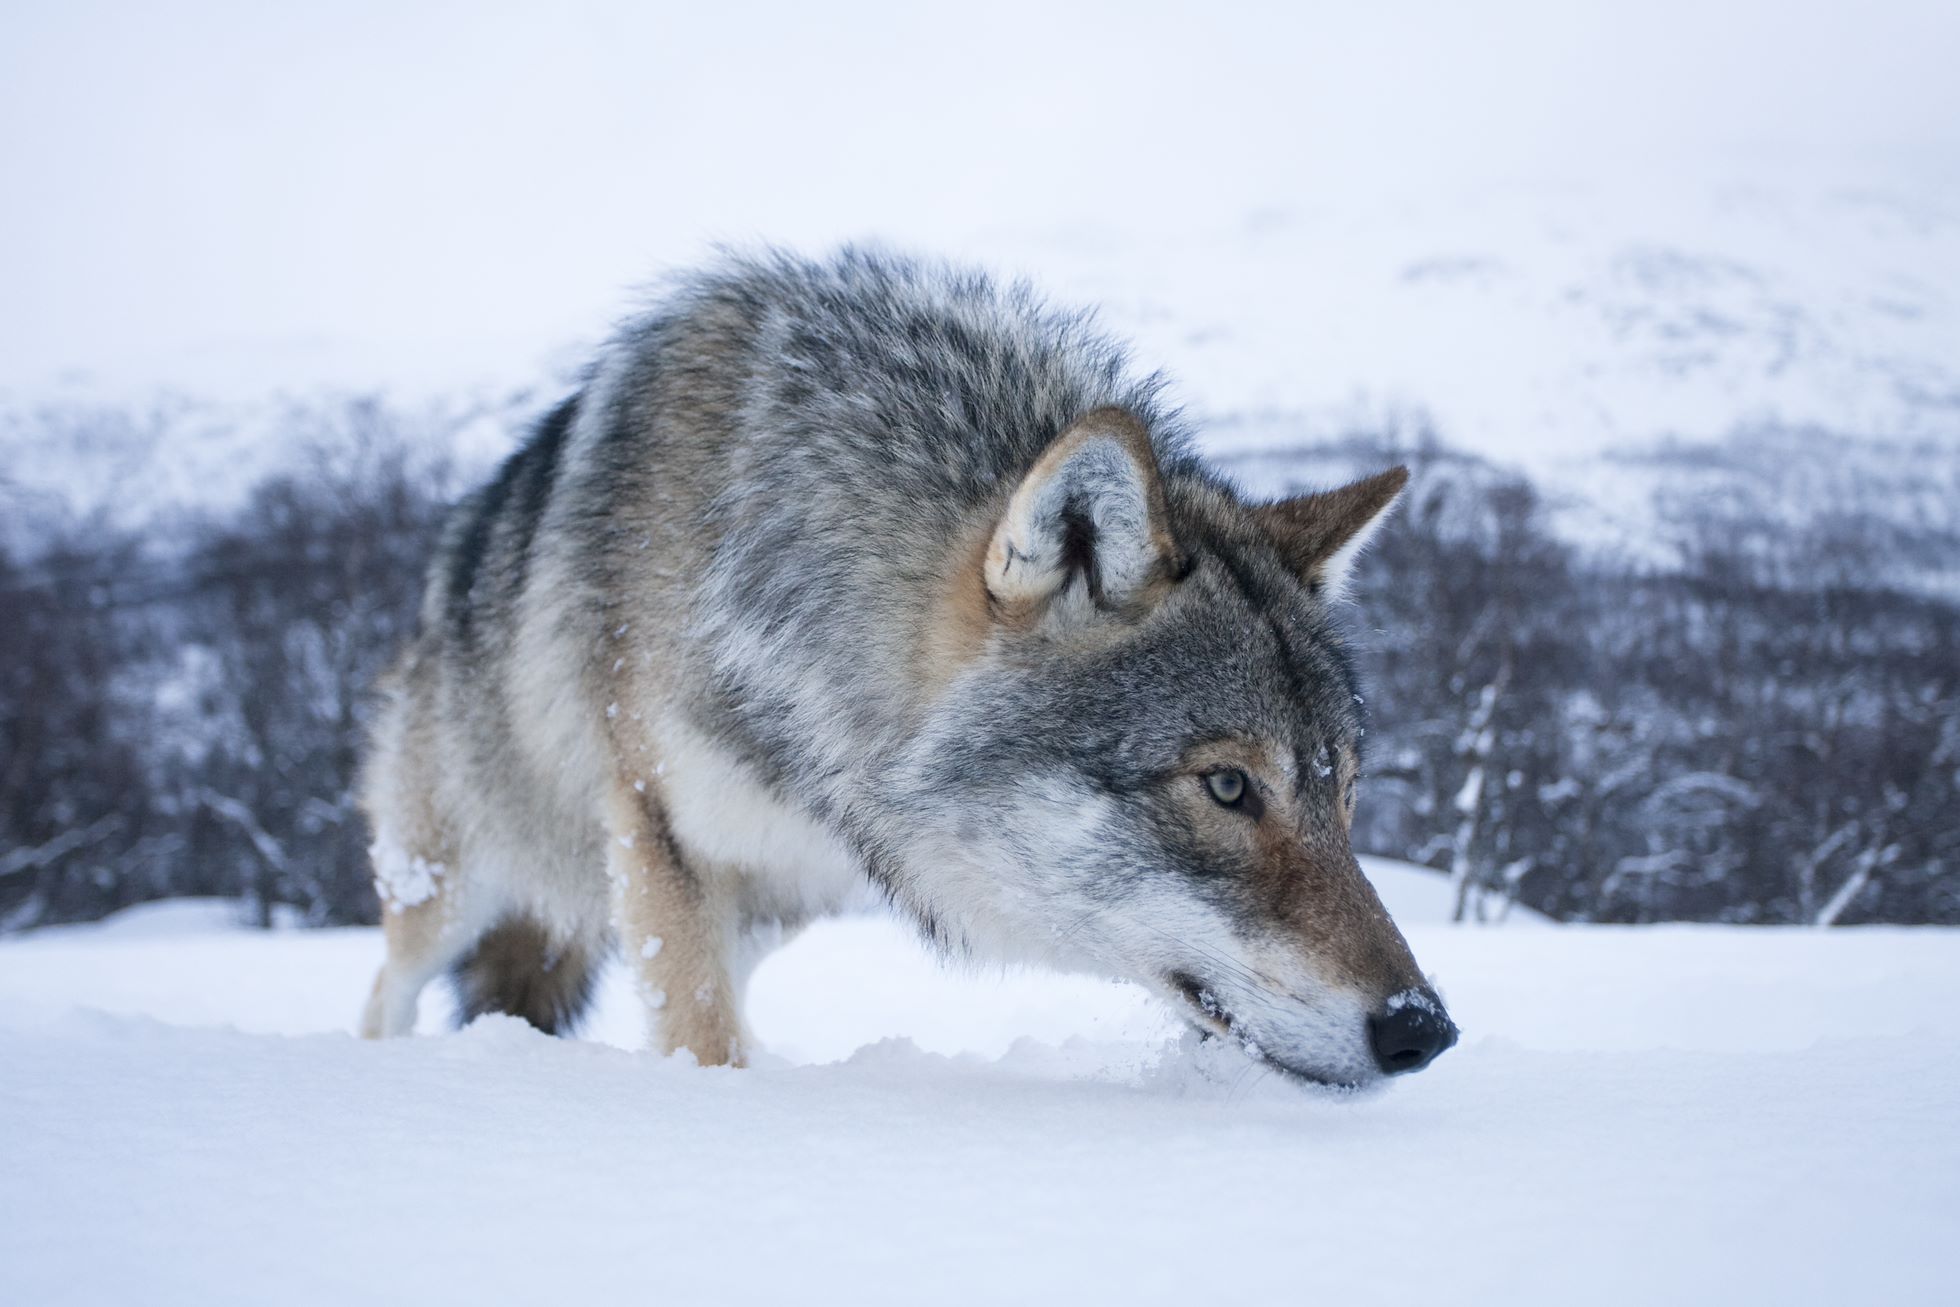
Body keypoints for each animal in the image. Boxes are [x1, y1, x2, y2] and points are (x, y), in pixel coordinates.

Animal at [357, 248, 1457, 1085]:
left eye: (1344, 793)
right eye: (1228, 786)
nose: (1425, 1028)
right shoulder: (664, 843)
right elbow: (703, 1040)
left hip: (764, 907)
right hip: (450, 880)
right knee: (387, 988)